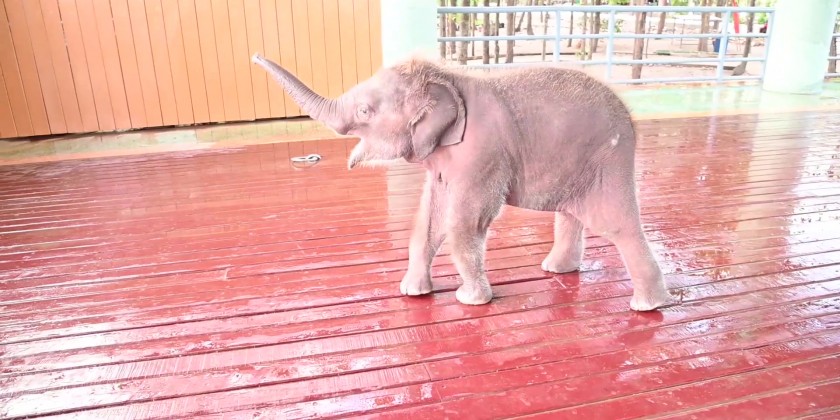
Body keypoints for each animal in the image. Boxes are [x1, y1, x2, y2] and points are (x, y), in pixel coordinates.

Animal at [251, 52, 672, 311]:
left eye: (365, 111)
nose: (253, 57)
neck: (446, 77)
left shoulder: (481, 154)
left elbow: (464, 222)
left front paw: (470, 300)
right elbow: (429, 220)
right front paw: (413, 293)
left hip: (609, 159)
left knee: (616, 224)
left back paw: (647, 306)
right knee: (570, 215)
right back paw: (556, 270)